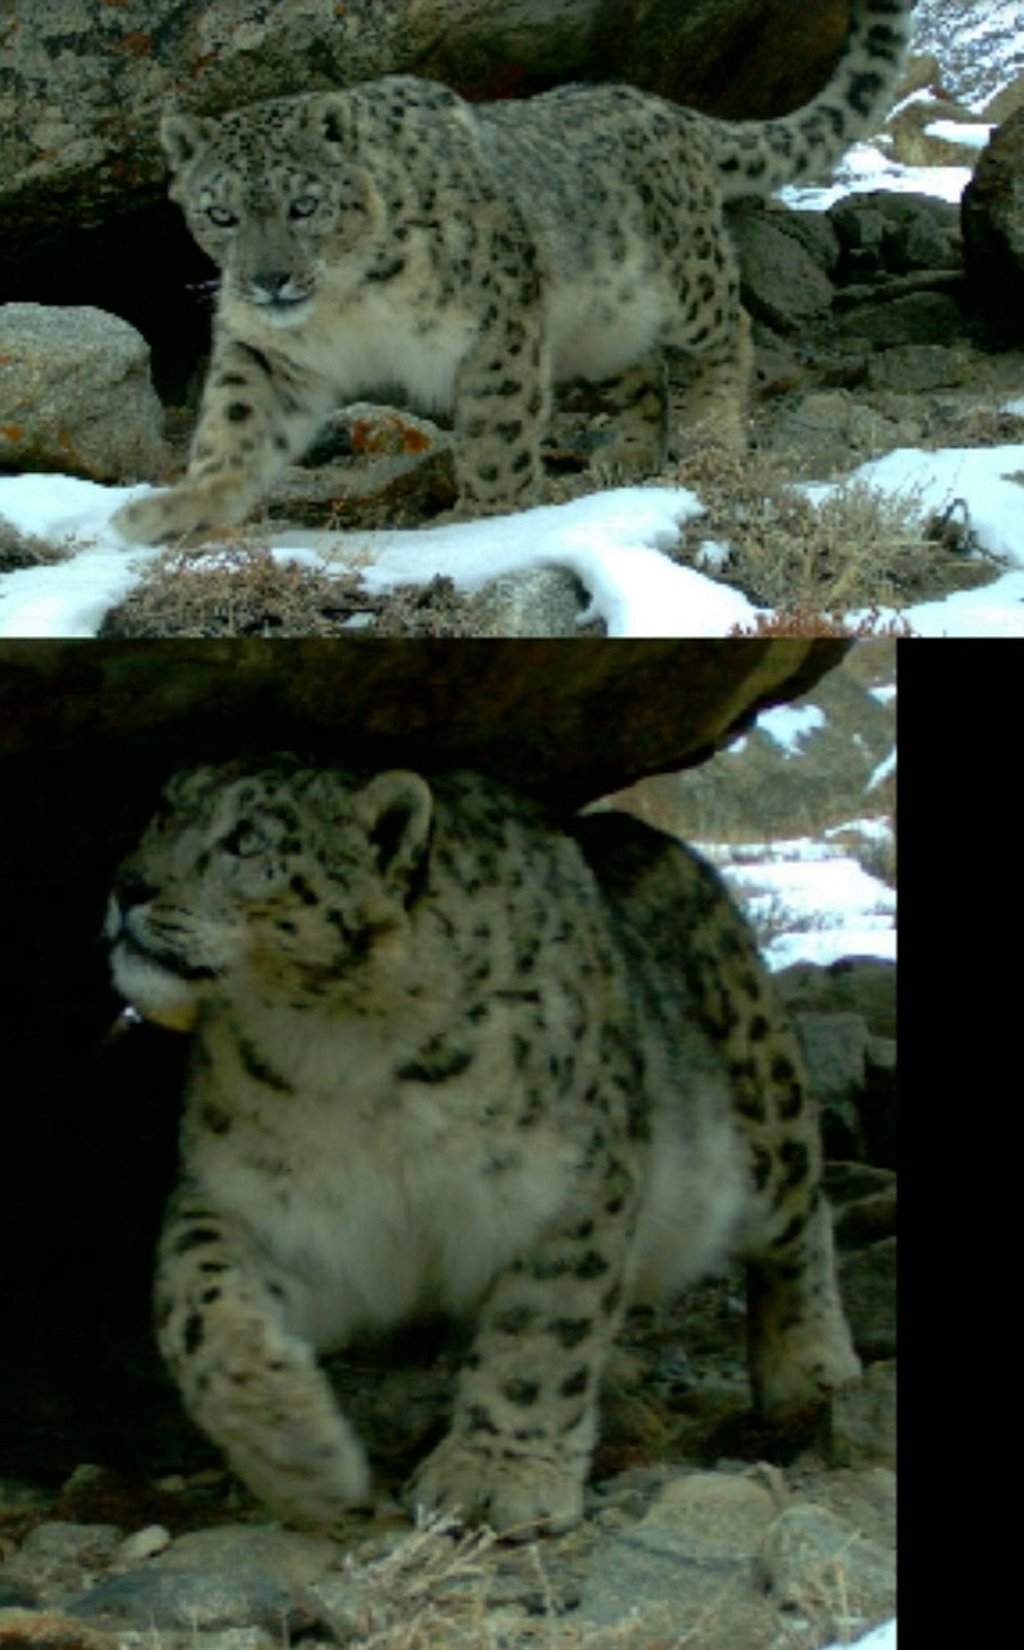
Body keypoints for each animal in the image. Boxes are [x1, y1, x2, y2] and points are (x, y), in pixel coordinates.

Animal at [104, 755, 861, 1534]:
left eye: (248, 842)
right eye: (161, 814)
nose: (128, 885)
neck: (339, 1053)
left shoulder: (564, 1188)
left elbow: (542, 1331)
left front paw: (496, 1477)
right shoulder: (259, 1203)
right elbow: (198, 1299)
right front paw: (298, 1453)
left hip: (761, 1101)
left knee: (802, 1216)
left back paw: (811, 1364)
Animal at [111, 0, 910, 545]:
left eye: (303, 205)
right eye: (220, 213)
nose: (269, 280)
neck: (343, 305)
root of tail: (669, 108)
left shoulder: (496, 318)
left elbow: (495, 424)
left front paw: (484, 515)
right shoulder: (270, 350)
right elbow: (236, 423)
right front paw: (179, 506)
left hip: (688, 277)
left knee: (727, 330)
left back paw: (712, 434)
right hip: (603, 320)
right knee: (643, 371)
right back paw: (627, 451)